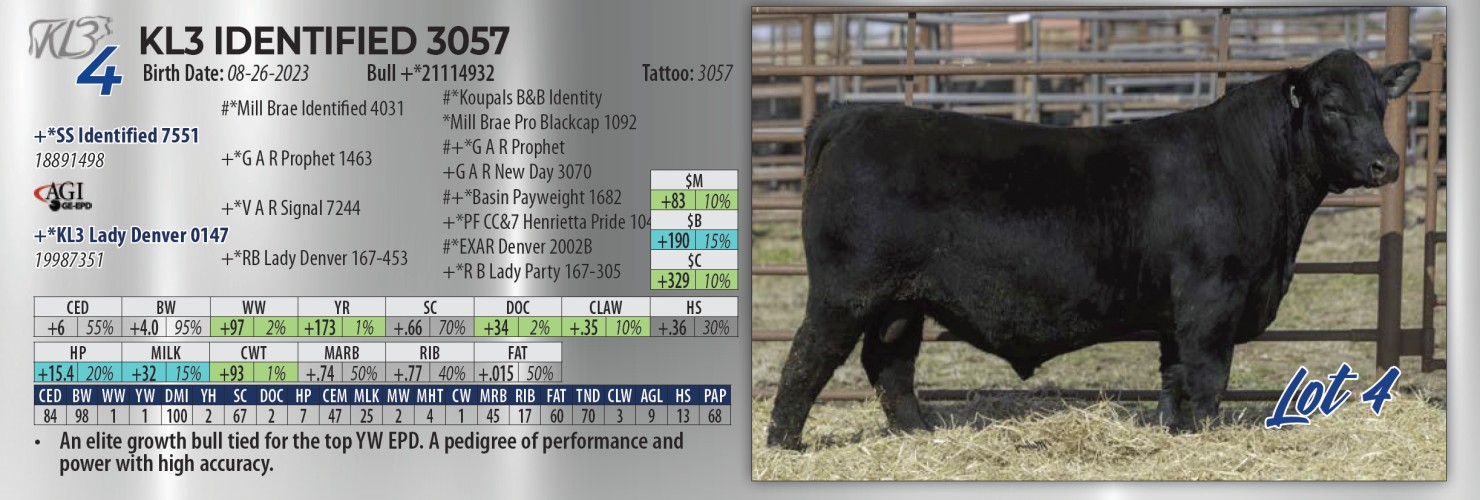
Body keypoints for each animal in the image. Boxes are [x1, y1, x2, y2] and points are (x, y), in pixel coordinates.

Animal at [766, 50, 1422, 450]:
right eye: (1331, 107)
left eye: (1380, 104)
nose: (1386, 163)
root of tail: (849, 117)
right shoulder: (1211, 298)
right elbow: (1208, 376)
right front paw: (1209, 436)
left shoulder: (1175, 313)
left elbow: (1173, 378)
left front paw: (1175, 435)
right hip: (845, 292)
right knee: (806, 361)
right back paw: (785, 445)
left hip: (902, 301)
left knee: (890, 366)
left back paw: (918, 434)